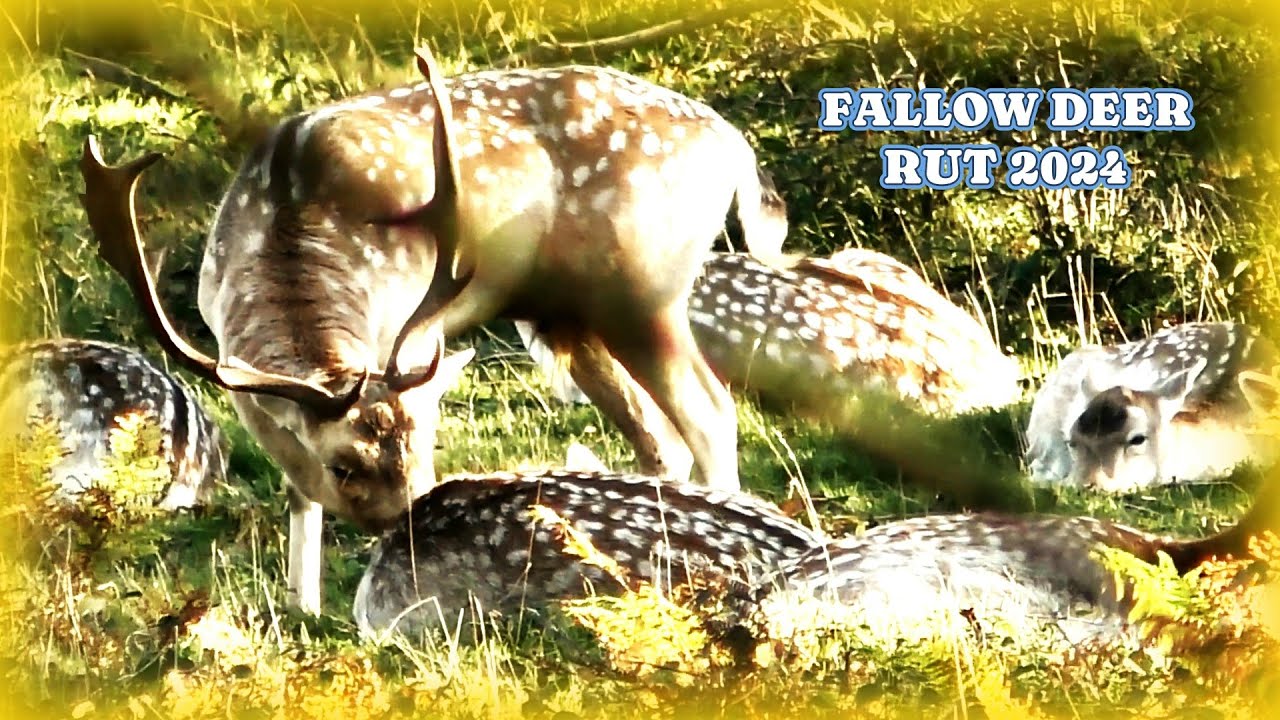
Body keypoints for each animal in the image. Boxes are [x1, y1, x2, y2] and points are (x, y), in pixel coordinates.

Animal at [78, 46, 787, 614]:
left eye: (427, 442)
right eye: (343, 466)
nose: (412, 527)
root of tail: (734, 144)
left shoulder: (408, 328)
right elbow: (296, 491)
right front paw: (302, 606)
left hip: (645, 289)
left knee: (711, 411)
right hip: (569, 313)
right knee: (661, 438)